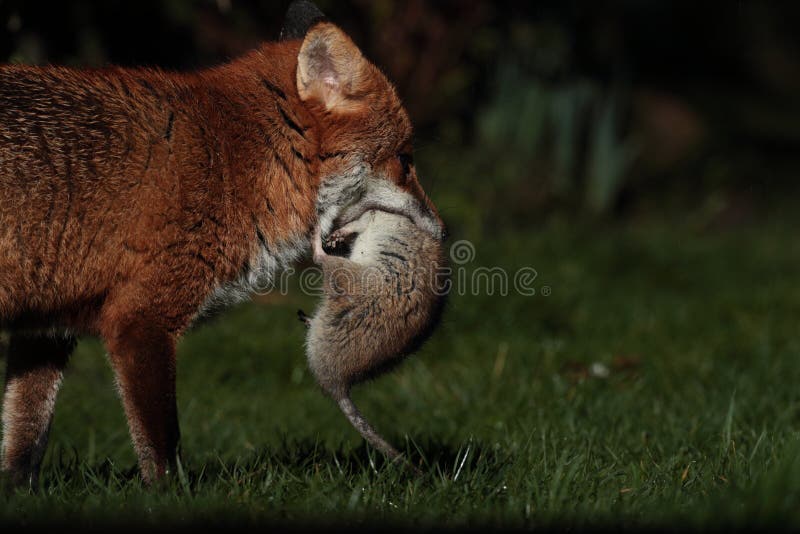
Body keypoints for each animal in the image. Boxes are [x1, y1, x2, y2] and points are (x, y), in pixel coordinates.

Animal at [0, 1, 445, 487]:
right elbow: (163, 448)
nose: (442, 229)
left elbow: (25, 443)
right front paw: (168, 497)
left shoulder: (45, 327)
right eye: (405, 161)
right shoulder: (140, 319)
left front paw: (19, 492)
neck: (235, 165)